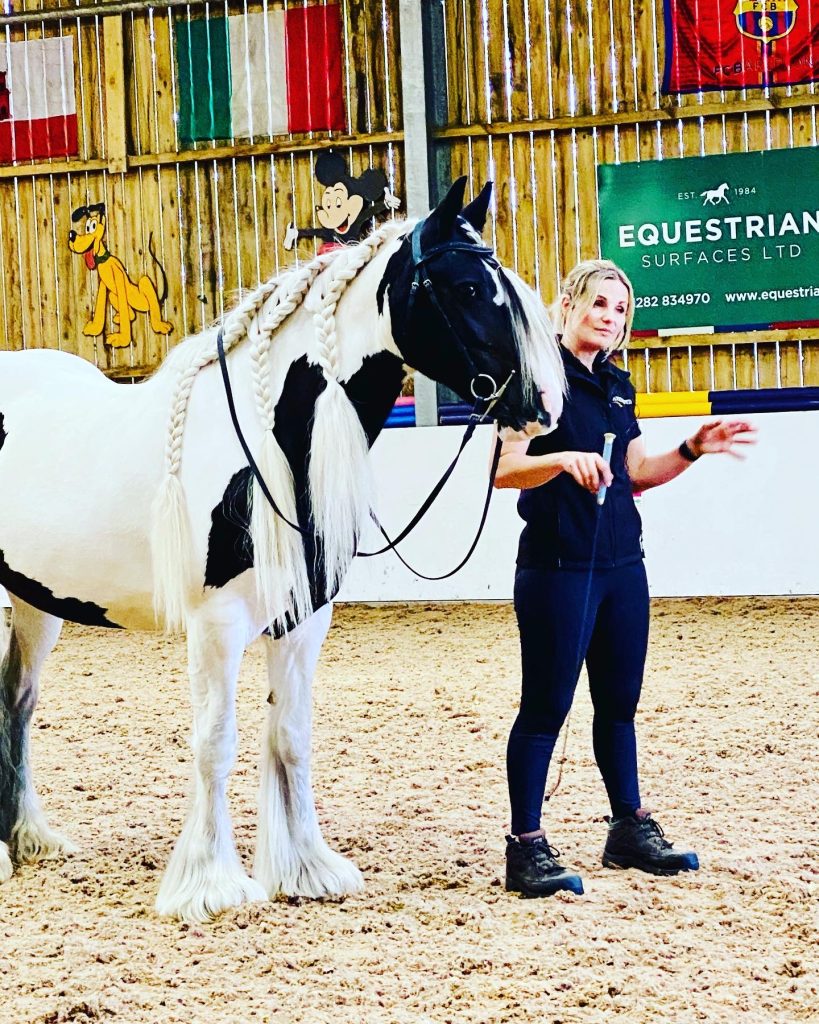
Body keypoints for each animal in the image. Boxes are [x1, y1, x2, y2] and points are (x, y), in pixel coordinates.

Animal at [0, 177, 565, 922]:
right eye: (469, 287)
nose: (543, 405)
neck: (268, 444)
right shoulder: (216, 625)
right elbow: (216, 742)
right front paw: (211, 885)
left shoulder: (303, 620)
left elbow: (289, 737)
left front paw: (305, 869)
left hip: (36, 603)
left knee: (17, 700)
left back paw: (26, 838)